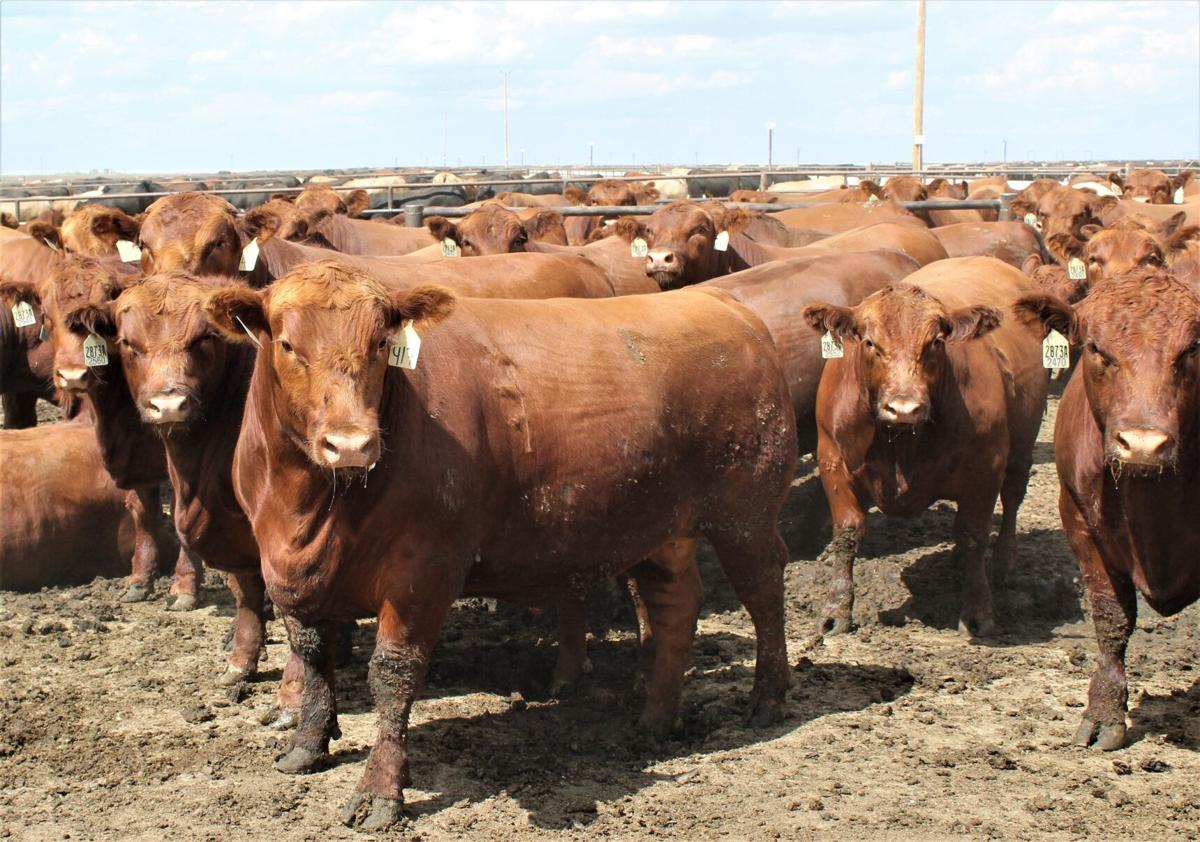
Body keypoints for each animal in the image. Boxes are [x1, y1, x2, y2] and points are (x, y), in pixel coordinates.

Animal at [203, 261, 797, 830]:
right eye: (286, 344)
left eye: (381, 344)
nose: (351, 444)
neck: (307, 510)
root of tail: (722, 304)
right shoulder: (287, 567)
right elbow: (312, 656)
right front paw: (306, 745)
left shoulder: (422, 572)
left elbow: (392, 674)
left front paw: (380, 790)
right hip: (660, 530)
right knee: (675, 607)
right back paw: (655, 719)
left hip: (748, 513)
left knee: (765, 595)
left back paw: (767, 697)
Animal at [802, 257, 1049, 639]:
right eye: (870, 342)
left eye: (936, 342)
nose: (905, 407)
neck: (900, 443)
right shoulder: (833, 460)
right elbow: (846, 533)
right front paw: (836, 611)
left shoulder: (986, 466)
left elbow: (975, 534)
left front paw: (977, 610)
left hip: (1022, 448)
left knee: (1011, 500)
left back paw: (1004, 563)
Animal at [1013, 269, 1200, 750]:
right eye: (1097, 348)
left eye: (1192, 348)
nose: (1144, 443)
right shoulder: (1080, 523)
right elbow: (1112, 619)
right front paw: (1104, 712)